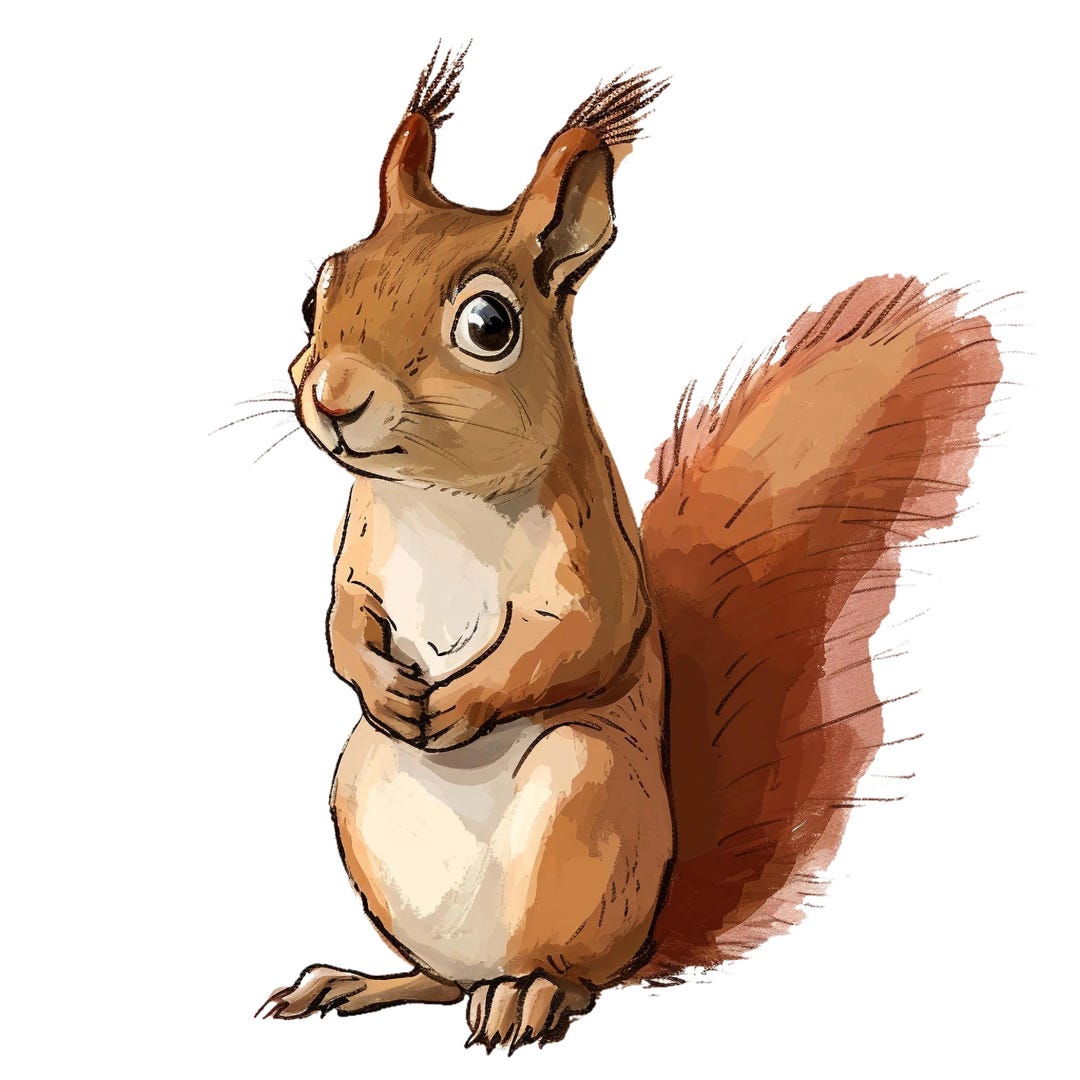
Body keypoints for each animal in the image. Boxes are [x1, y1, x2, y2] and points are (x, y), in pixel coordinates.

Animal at [258, 47, 1003, 1050]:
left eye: (489, 325)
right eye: (316, 294)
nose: (334, 397)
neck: (440, 499)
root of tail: (647, 932)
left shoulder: (590, 559)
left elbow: (586, 633)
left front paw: (458, 706)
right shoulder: (360, 548)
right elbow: (343, 618)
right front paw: (384, 687)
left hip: (585, 801)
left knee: (570, 978)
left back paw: (527, 997)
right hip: (357, 794)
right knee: (439, 980)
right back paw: (356, 981)